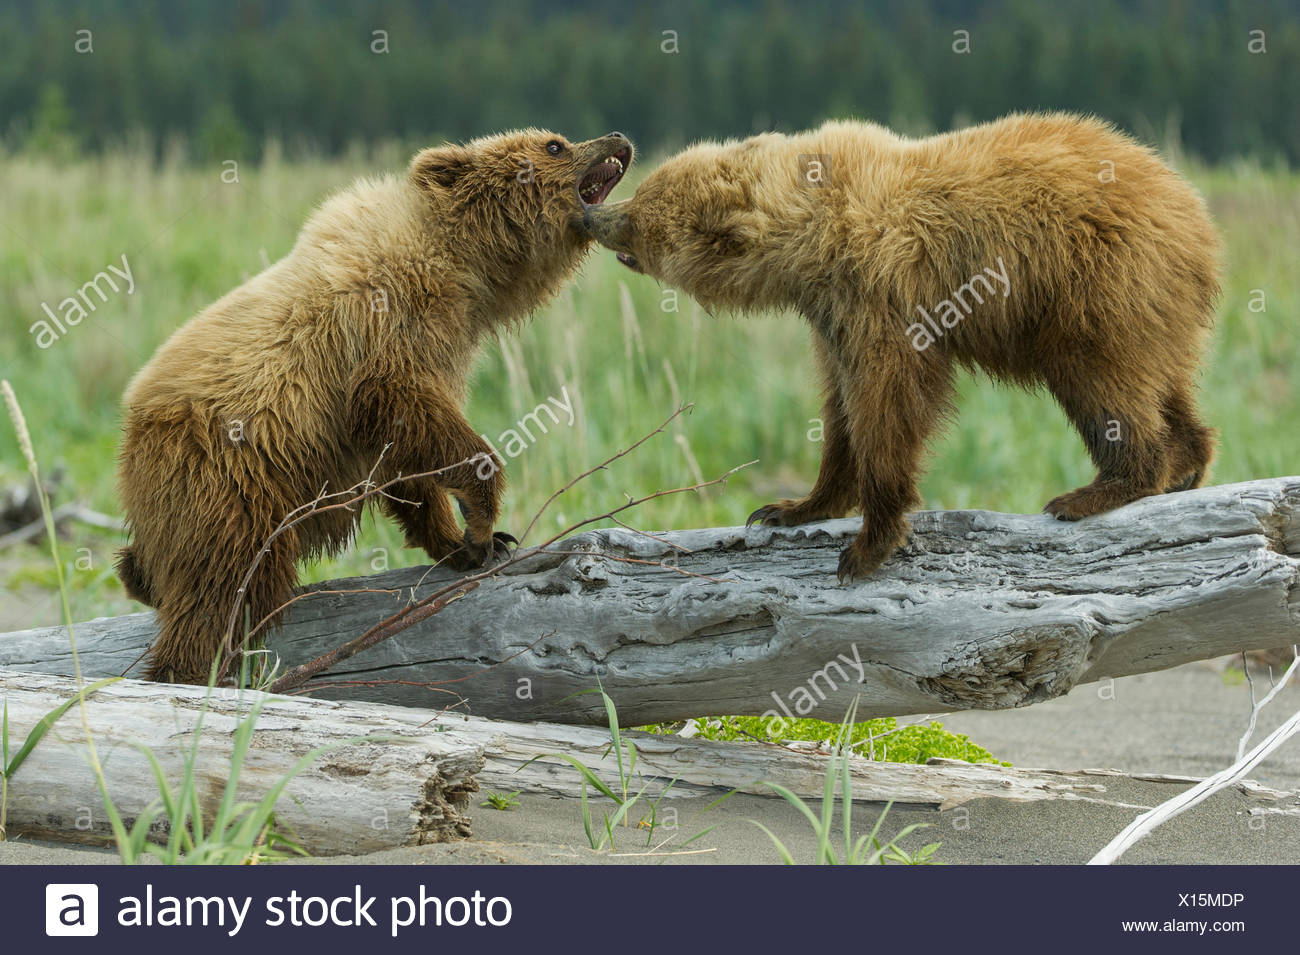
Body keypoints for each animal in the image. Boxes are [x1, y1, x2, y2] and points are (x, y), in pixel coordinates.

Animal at [117, 128, 633, 683]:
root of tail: (130, 445)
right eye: (555, 145)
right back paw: (194, 672)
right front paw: (480, 515)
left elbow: (405, 456)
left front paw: (469, 542)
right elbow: (403, 406)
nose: (618, 138)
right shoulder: (389, 320)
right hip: (227, 479)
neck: (463, 262)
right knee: (223, 588)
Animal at [581, 113, 1220, 582]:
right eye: (644, 193)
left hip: (1092, 287)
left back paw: (1095, 490)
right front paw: (789, 507)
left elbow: (889, 401)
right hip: (1155, 309)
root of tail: (1197, 217)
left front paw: (867, 546)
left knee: (1101, 384)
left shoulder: (887, 291)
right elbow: (839, 407)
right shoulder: (832, 316)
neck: (813, 241)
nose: (593, 215)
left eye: (640, 211)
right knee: (1167, 385)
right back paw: (1186, 462)